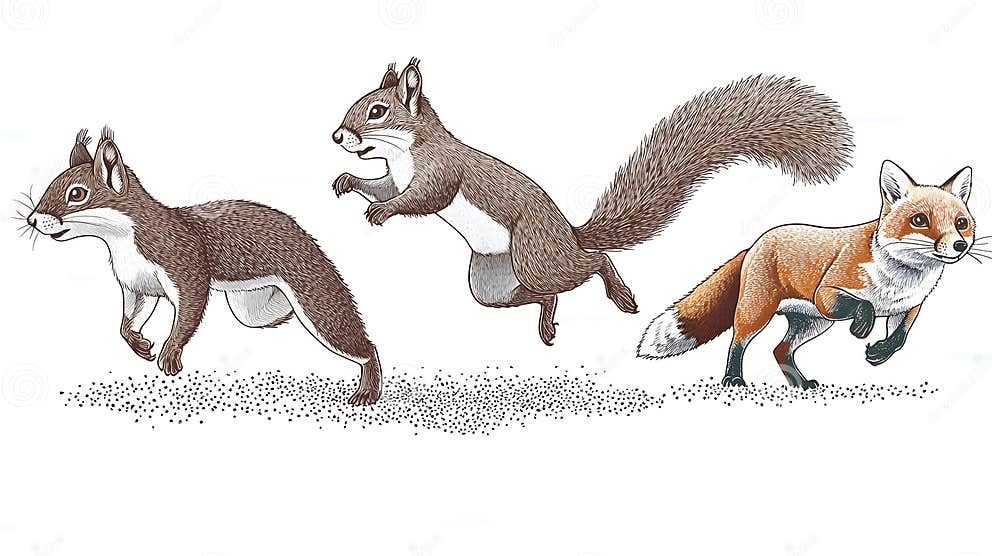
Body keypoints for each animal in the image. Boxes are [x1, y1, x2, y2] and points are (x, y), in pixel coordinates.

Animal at [22, 128, 383, 405]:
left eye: (77, 194)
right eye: (51, 184)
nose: (33, 219)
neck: (122, 241)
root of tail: (304, 237)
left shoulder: (184, 265)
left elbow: (189, 311)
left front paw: (169, 353)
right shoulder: (137, 286)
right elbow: (127, 322)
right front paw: (140, 343)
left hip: (313, 299)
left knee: (363, 346)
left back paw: (369, 388)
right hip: (252, 308)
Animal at [331, 58, 853, 345]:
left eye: (377, 110)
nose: (337, 136)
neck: (404, 152)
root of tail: (569, 232)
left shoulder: (441, 172)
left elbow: (419, 199)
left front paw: (382, 211)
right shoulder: (394, 175)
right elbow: (380, 185)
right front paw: (348, 181)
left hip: (536, 255)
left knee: (592, 262)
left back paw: (618, 292)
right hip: (493, 279)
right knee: (546, 291)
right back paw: (547, 321)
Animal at [638, 160, 978, 388]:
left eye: (961, 223)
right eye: (920, 220)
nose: (959, 245)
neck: (898, 281)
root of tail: (756, 242)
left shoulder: (908, 308)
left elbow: (899, 339)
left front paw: (878, 353)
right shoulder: (827, 293)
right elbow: (864, 305)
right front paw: (863, 328)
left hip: (812, 324)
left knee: (779, 350)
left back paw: (800, 385)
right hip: (759, 312)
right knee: (737, 342)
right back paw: (733, 378)